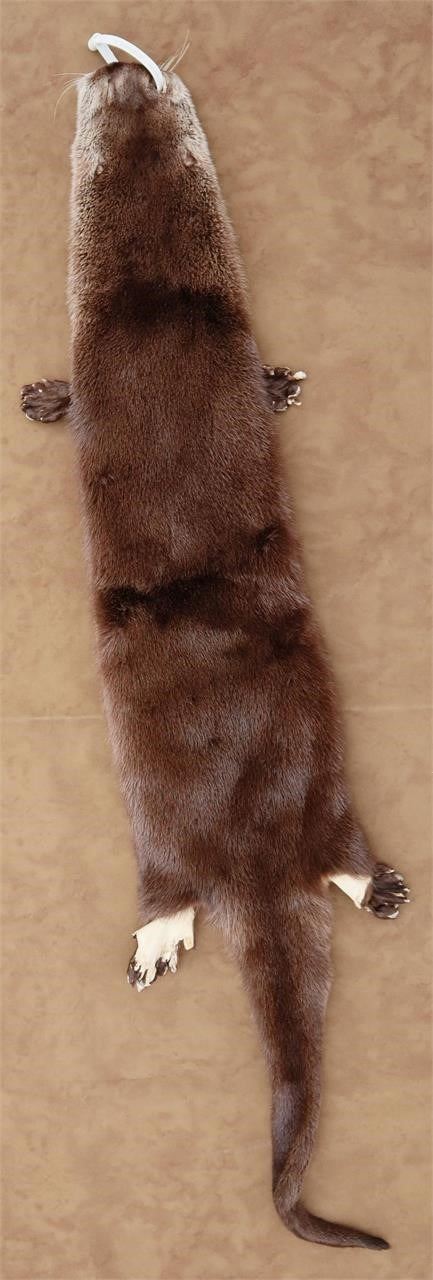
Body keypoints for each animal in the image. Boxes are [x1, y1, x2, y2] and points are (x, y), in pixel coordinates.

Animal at [21, 62, 409, 1249]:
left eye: (158, 109)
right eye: (117, 113)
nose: (119, 67)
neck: (157, 307)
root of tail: (250, 861)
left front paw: (43, 396)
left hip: (190, 827)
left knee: (193, 886)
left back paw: (170, 941)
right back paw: (377, 891)